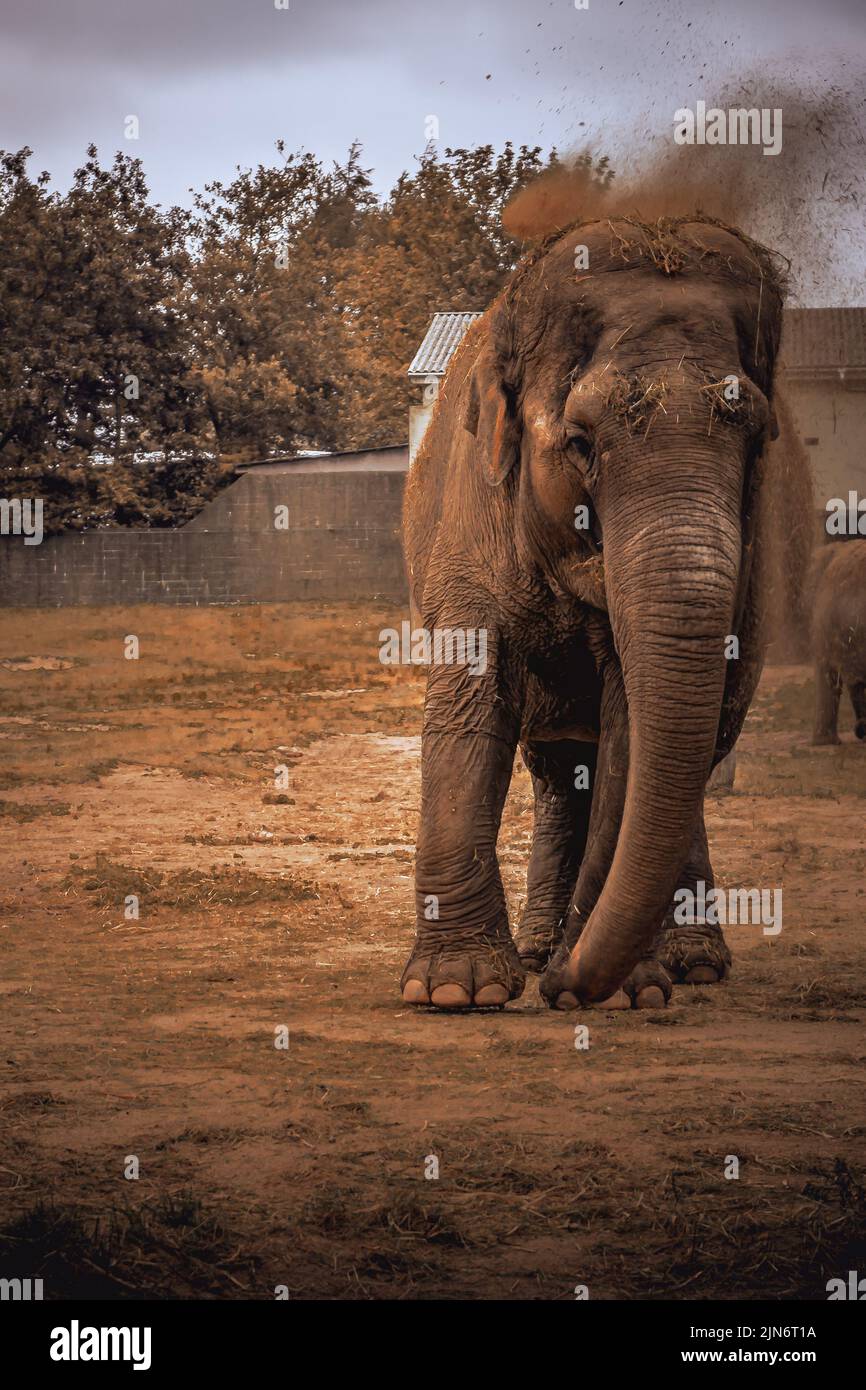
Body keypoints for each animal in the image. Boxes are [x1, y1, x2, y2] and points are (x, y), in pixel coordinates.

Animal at [400, 214, 812, 1013]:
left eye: (755, 441)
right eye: (581, 441)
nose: (562, 989)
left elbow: (633, 722)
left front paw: (626, 992)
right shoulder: (472, 517)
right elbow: (470, 707)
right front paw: (456, 991)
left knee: (681, 759)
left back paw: (688, 963)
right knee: (562, 767)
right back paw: (542, 948)